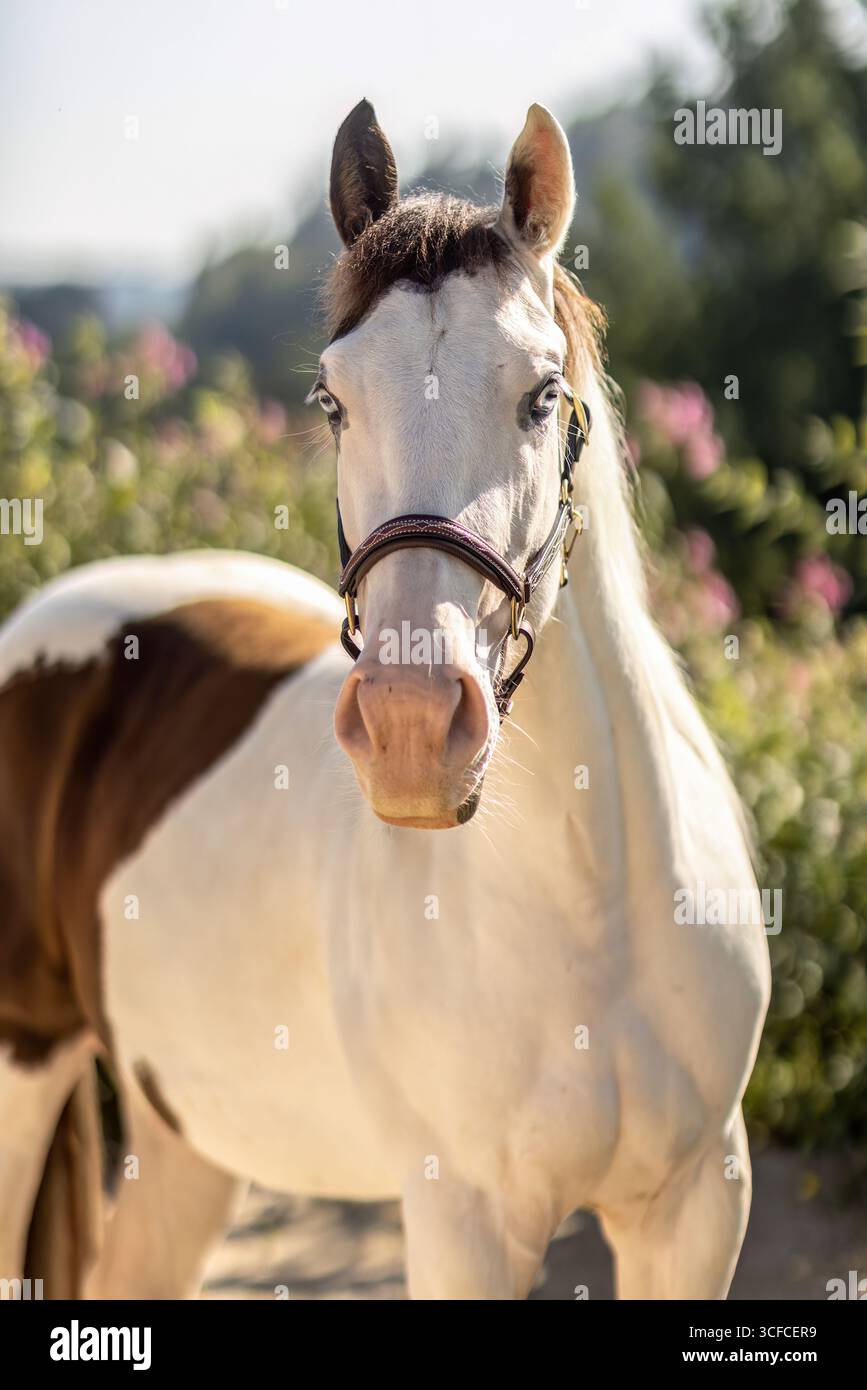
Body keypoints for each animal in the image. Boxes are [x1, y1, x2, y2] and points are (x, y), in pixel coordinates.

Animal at [0, 100, 770, 1300]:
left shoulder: (694, 1208)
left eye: (541, 395)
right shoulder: (463, 1222)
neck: (594, 906)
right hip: (24, 1066)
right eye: (333, 398)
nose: (412, 730)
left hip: (189, 1135)